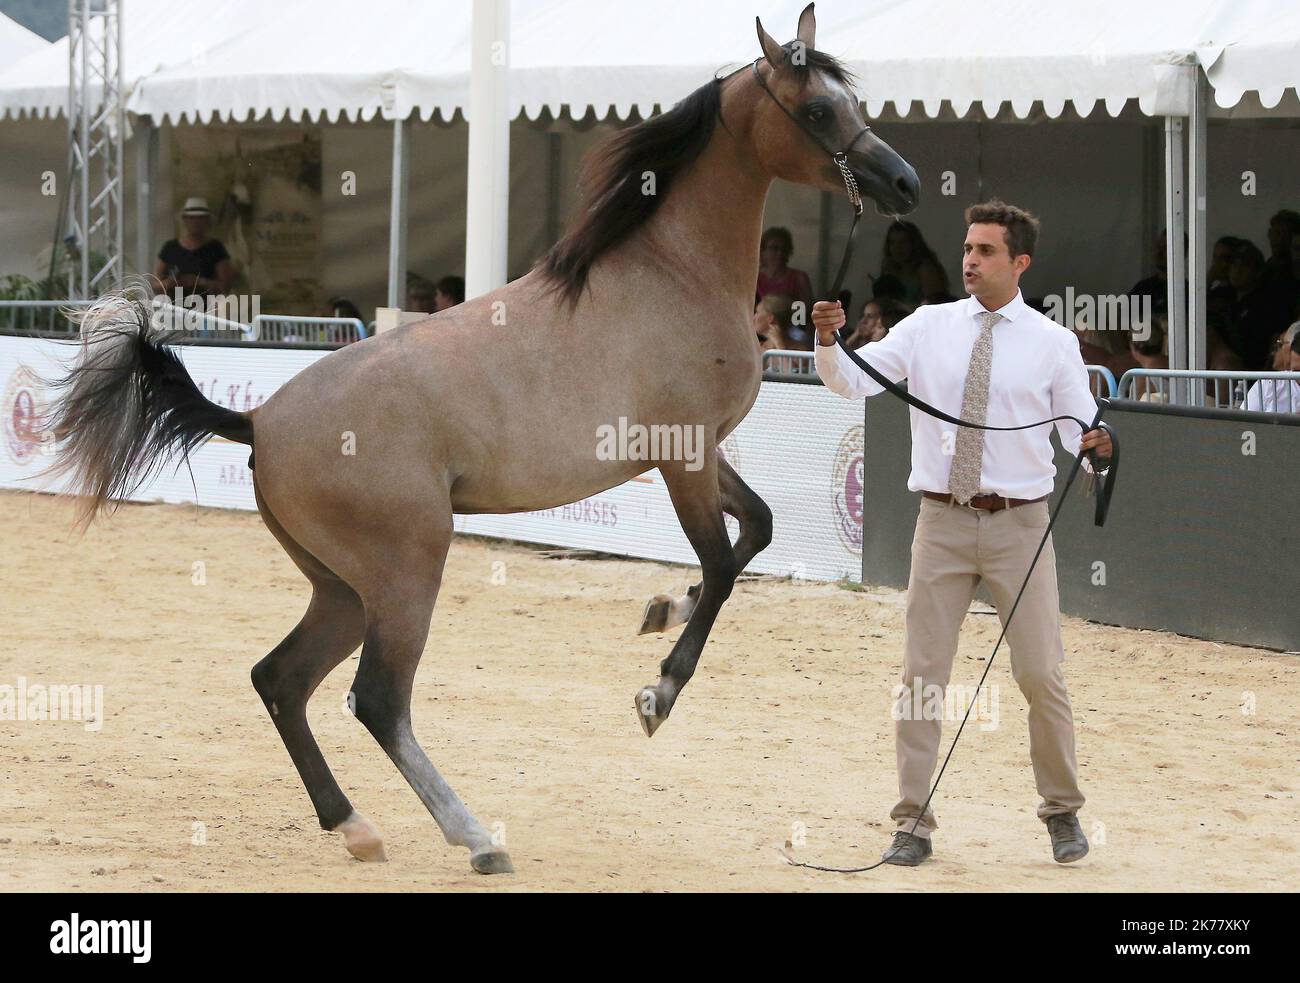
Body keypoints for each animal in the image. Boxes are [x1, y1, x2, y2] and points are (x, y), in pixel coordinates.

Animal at [43, 3, 918, 875]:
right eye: (817, 110)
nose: (905, 183)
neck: (670, 274)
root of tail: (258, 420)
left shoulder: (698, 458)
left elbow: (754, 534)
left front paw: (659, 608)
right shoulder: (686, 458)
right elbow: (723, 565)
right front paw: (657, 691)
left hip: (342, 588)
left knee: (280, 679)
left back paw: (355, 825)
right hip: (406, 569)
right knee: (377, 699)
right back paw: (474, 836)